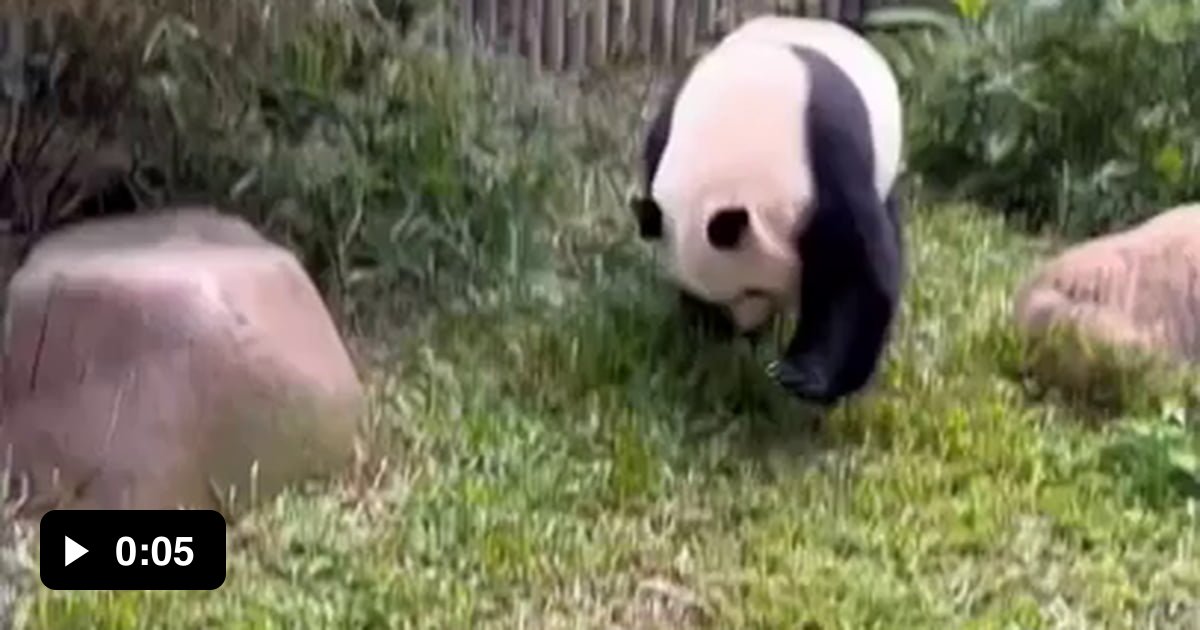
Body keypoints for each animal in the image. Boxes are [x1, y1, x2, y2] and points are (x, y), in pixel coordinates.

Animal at [628, 15, 906, 406]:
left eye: (753, 290)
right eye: (714, 300)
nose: (744, 330)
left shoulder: (828, 161)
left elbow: (855, 272)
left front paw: (808, 376)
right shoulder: (662, 147)